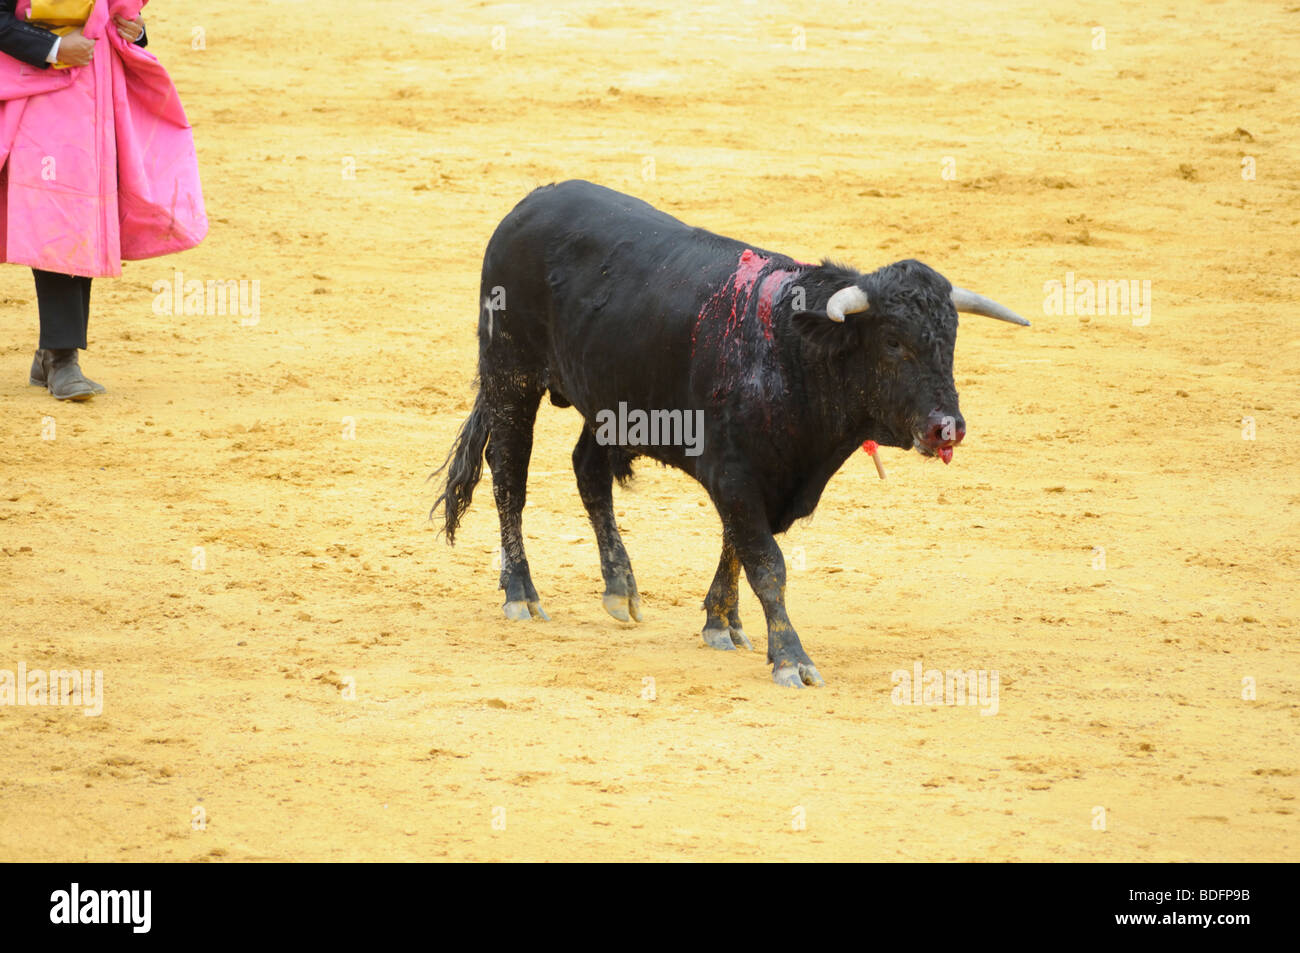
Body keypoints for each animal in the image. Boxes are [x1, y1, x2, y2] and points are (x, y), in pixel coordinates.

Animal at [432, 180, 1028, 687]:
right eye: (893, 342)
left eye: (950, 340)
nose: (947, 428)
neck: (791, 350)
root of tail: (530, 203)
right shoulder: (734, 473)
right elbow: (766, 561)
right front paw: (791, 659)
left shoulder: (770, 481)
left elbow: (737, 545)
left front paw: (722, 622)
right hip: (511, 375)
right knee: (510, 473)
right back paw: (521, 592)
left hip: (606, 400)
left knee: (588, 471)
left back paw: (620, 587)